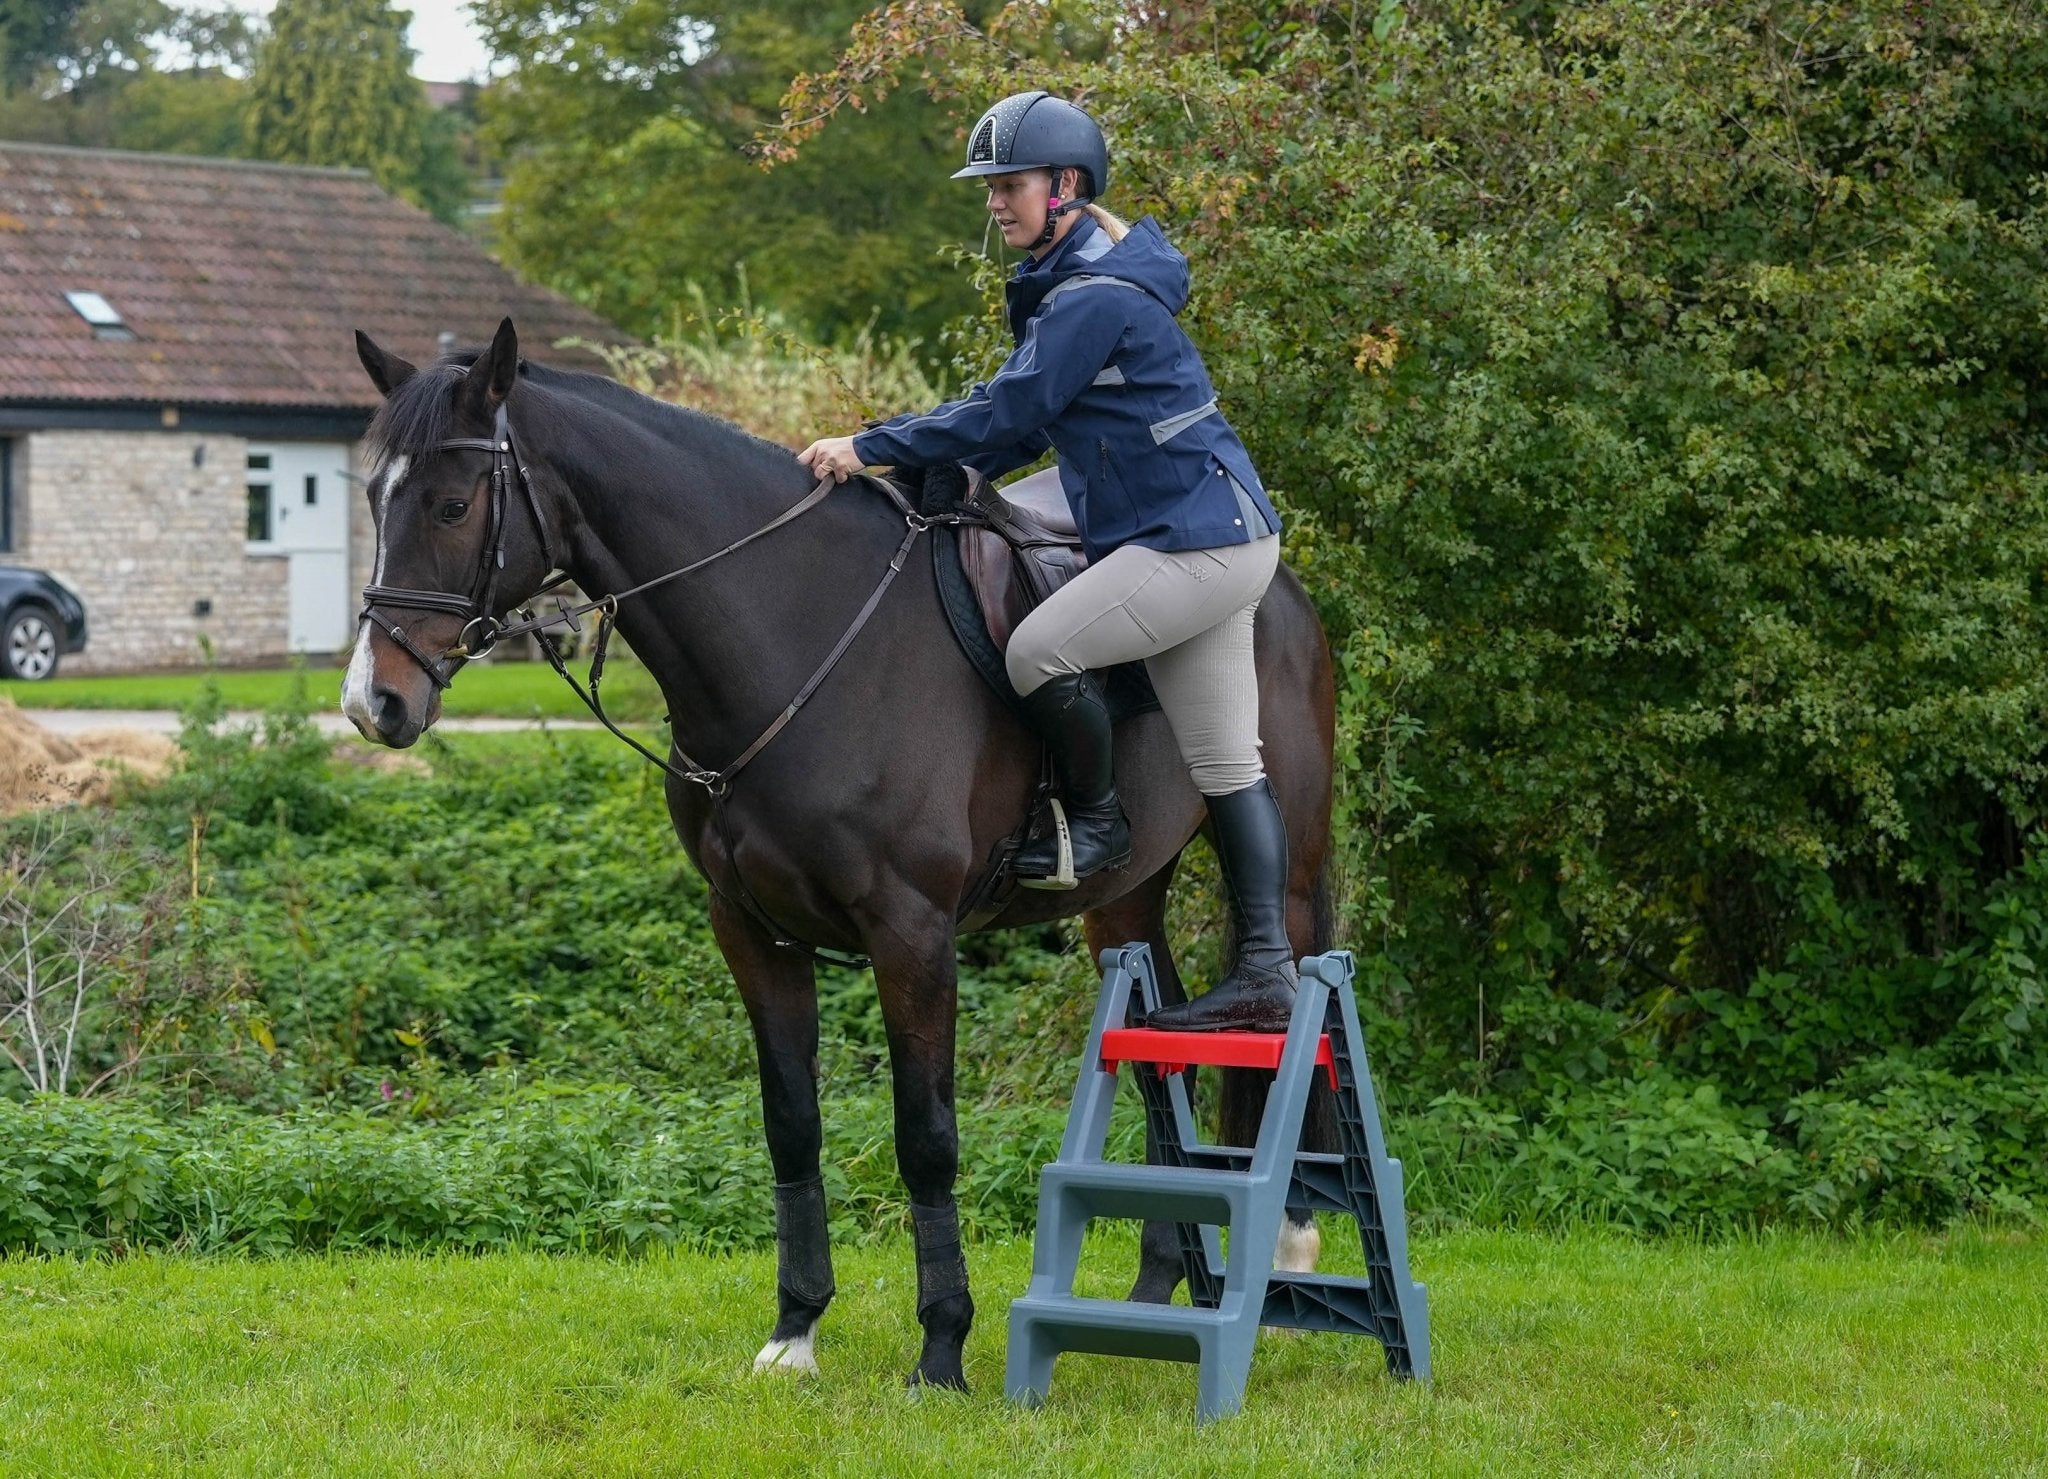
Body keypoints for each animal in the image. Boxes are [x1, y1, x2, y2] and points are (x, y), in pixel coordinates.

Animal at [342, 318, 1338, 1391]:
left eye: (451, 503)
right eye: (374, 498)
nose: (373, 701)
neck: (799, 635)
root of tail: (1280, 584)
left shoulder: (913, 936)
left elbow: (926, 1136)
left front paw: (942, 1347)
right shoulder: (753, 933)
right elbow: (792, 1126)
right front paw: (796, 1327)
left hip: (1290, 867)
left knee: (1294, 1003)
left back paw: (1290, 1253)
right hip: (1125, 894)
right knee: (1162, 1054)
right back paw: (1158, 1288)